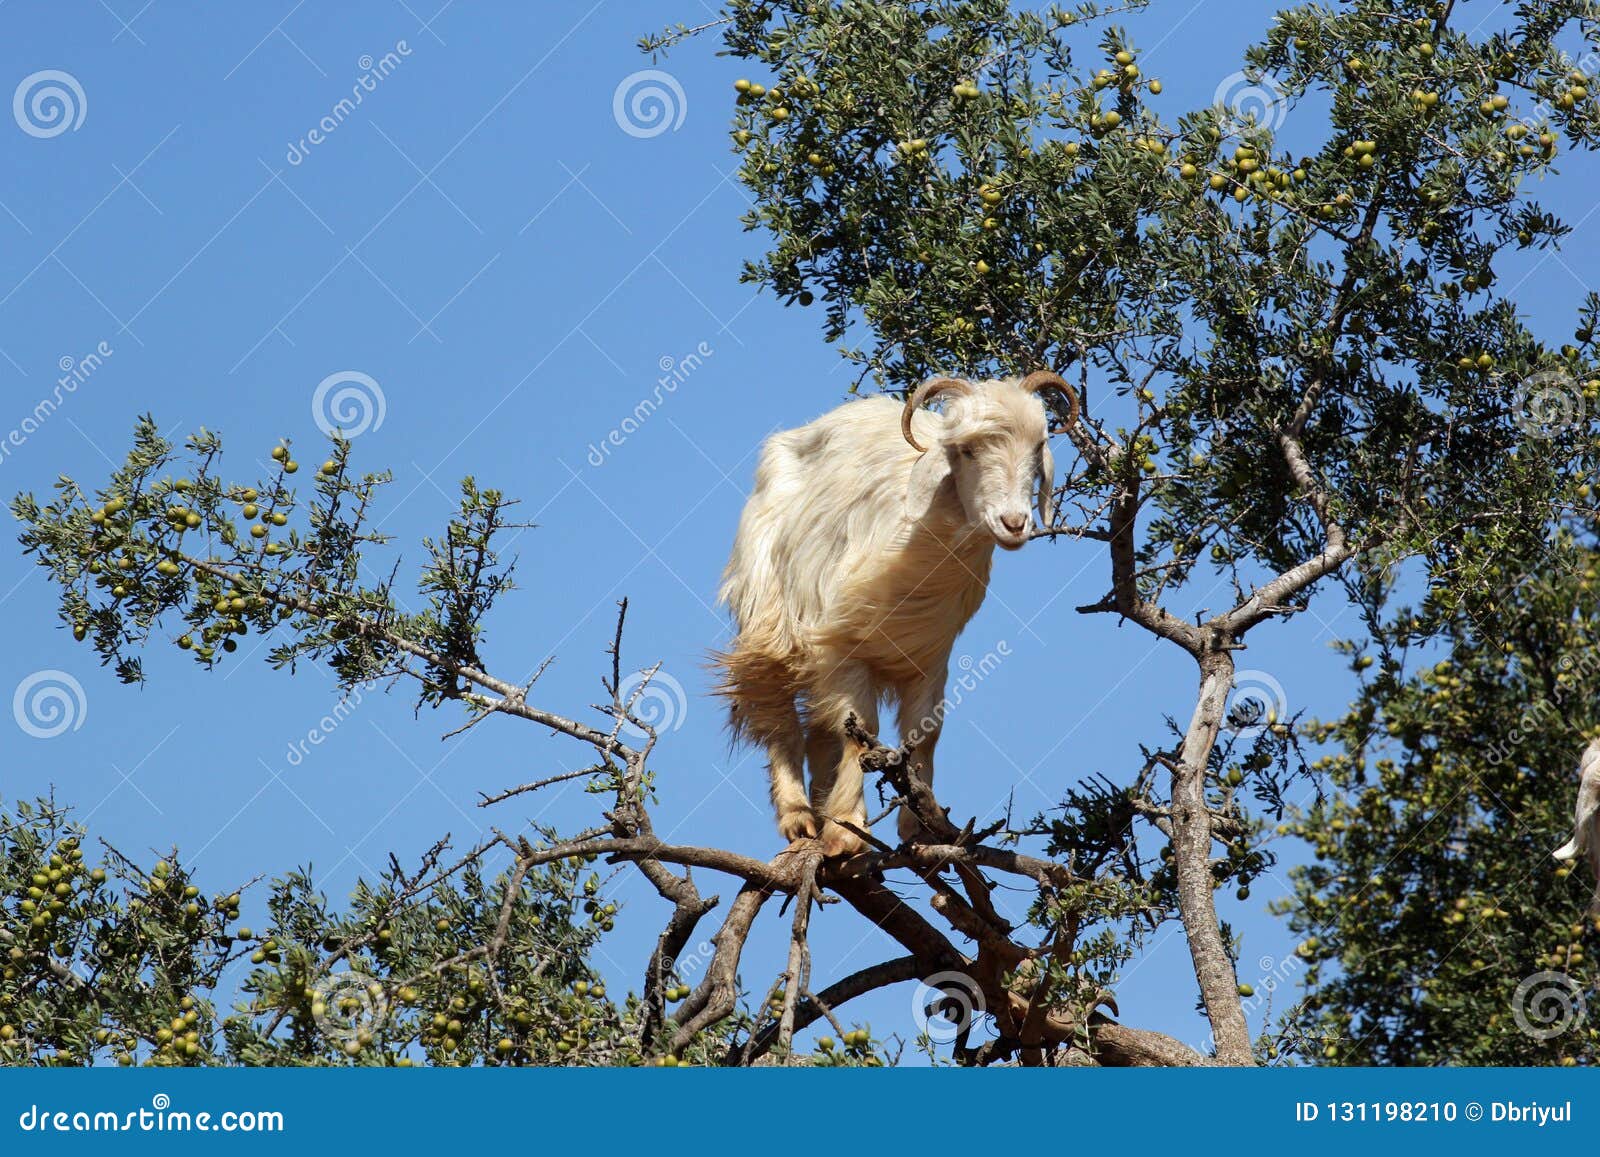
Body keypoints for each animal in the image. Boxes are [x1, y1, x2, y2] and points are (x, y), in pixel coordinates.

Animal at [715, 371, 1079, 855]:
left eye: (1038, 446)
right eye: (966, 450)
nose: (1014, 523)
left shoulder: (931, 655)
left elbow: (924, 732)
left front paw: (919, 823)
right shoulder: (838, 647)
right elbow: (859, 730)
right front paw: (847, 830)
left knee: (817, 734)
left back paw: (821, 809)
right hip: (768, 616)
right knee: (778, 716)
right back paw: (799, 818)